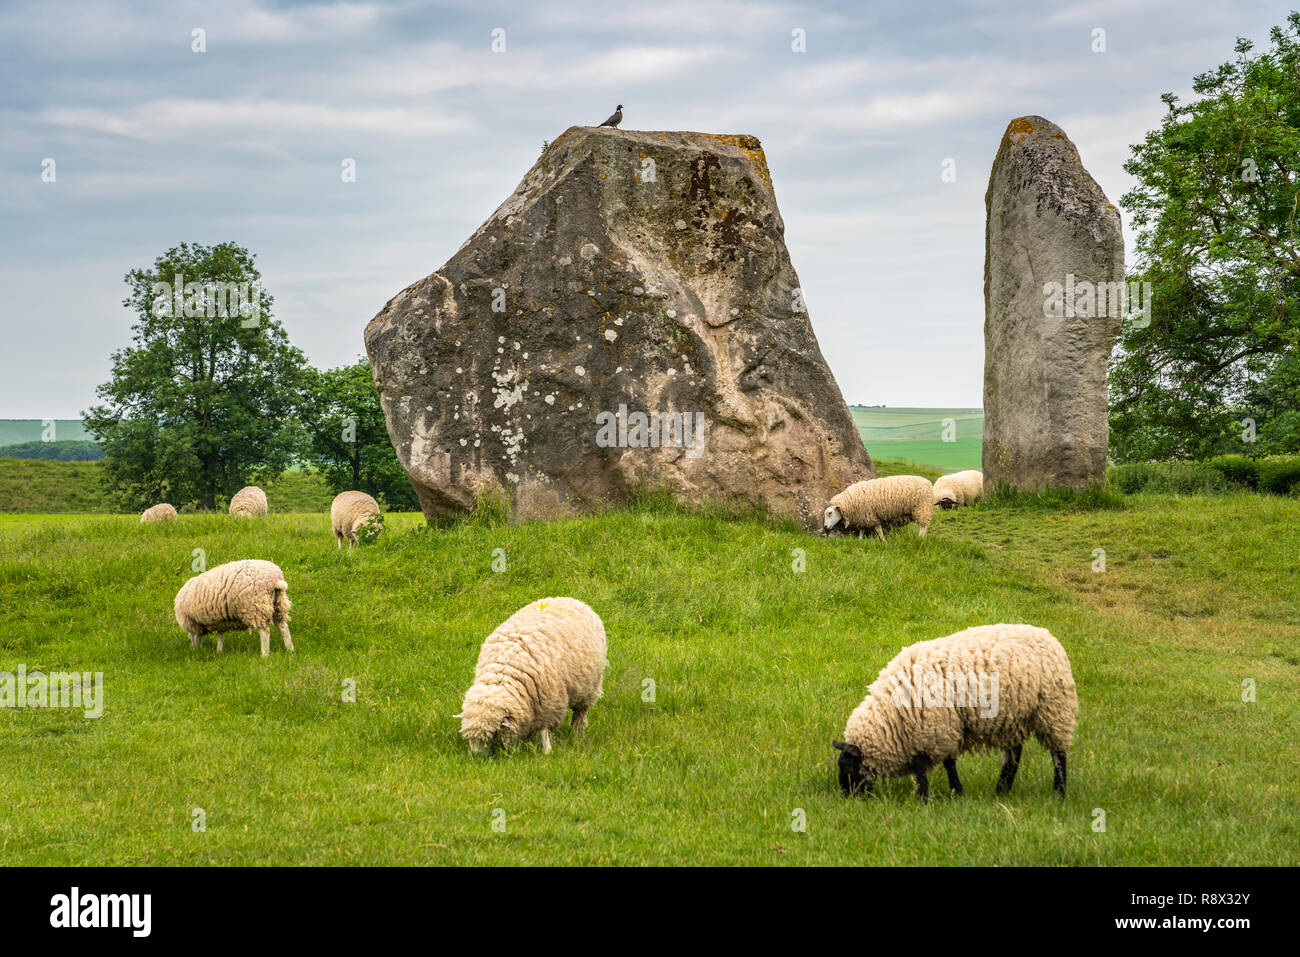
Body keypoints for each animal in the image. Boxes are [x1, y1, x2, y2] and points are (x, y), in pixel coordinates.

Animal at [459, 597, 607, 756]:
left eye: (491, 735)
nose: (477, 757)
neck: (504, 672)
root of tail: (570, 599)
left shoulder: (551, 706)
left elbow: (546, 731)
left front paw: (546, 748)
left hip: (590, 687)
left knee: (581, 712)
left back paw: (578, 732)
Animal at [832, 624, 1077, 801]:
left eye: (849, 768)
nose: (848, 798)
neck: (893, 716)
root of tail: (1049, 637)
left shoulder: (935, 730)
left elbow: (931, 766)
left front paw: (928, 797)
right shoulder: (939, 731)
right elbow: (945, 763)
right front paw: (954, 793)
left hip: (1054, 710)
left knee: (1058, 755)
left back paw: (1059, 793)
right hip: (1012, 718)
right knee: (1014, 754)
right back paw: (1002, 789)